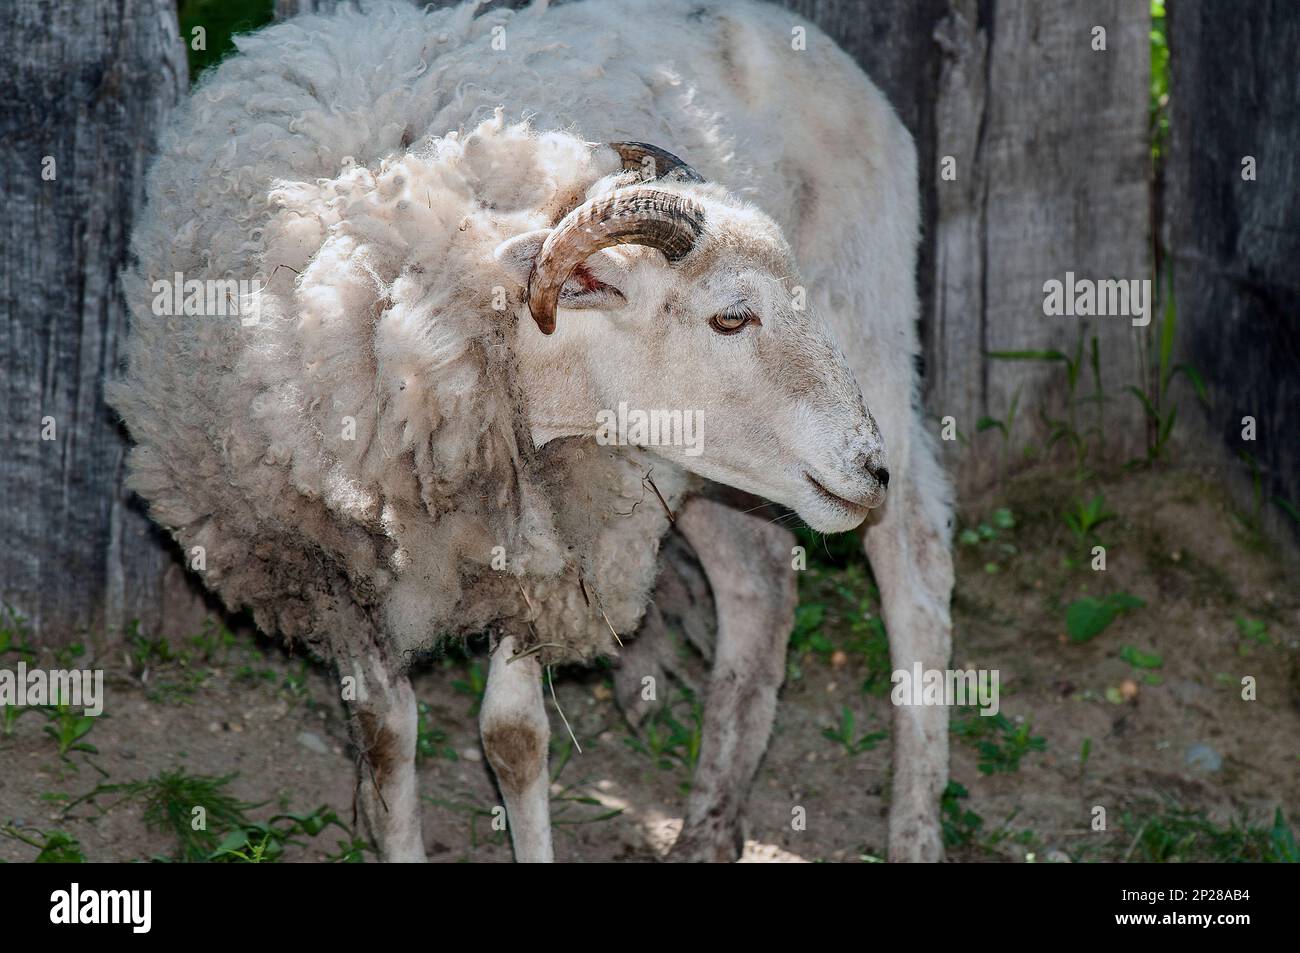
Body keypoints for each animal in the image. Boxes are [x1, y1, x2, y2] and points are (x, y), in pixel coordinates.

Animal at [110, 0, 953, 862]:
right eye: (731, 316)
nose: (867, 467)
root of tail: (812, 43)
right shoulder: (334, 564)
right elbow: (386, 739)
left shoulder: (547, 552)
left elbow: (513, 738)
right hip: (715, 462)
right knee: (761, 583)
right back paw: (708, 825)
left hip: (874, 328)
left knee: (917, 574)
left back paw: (914, 826)